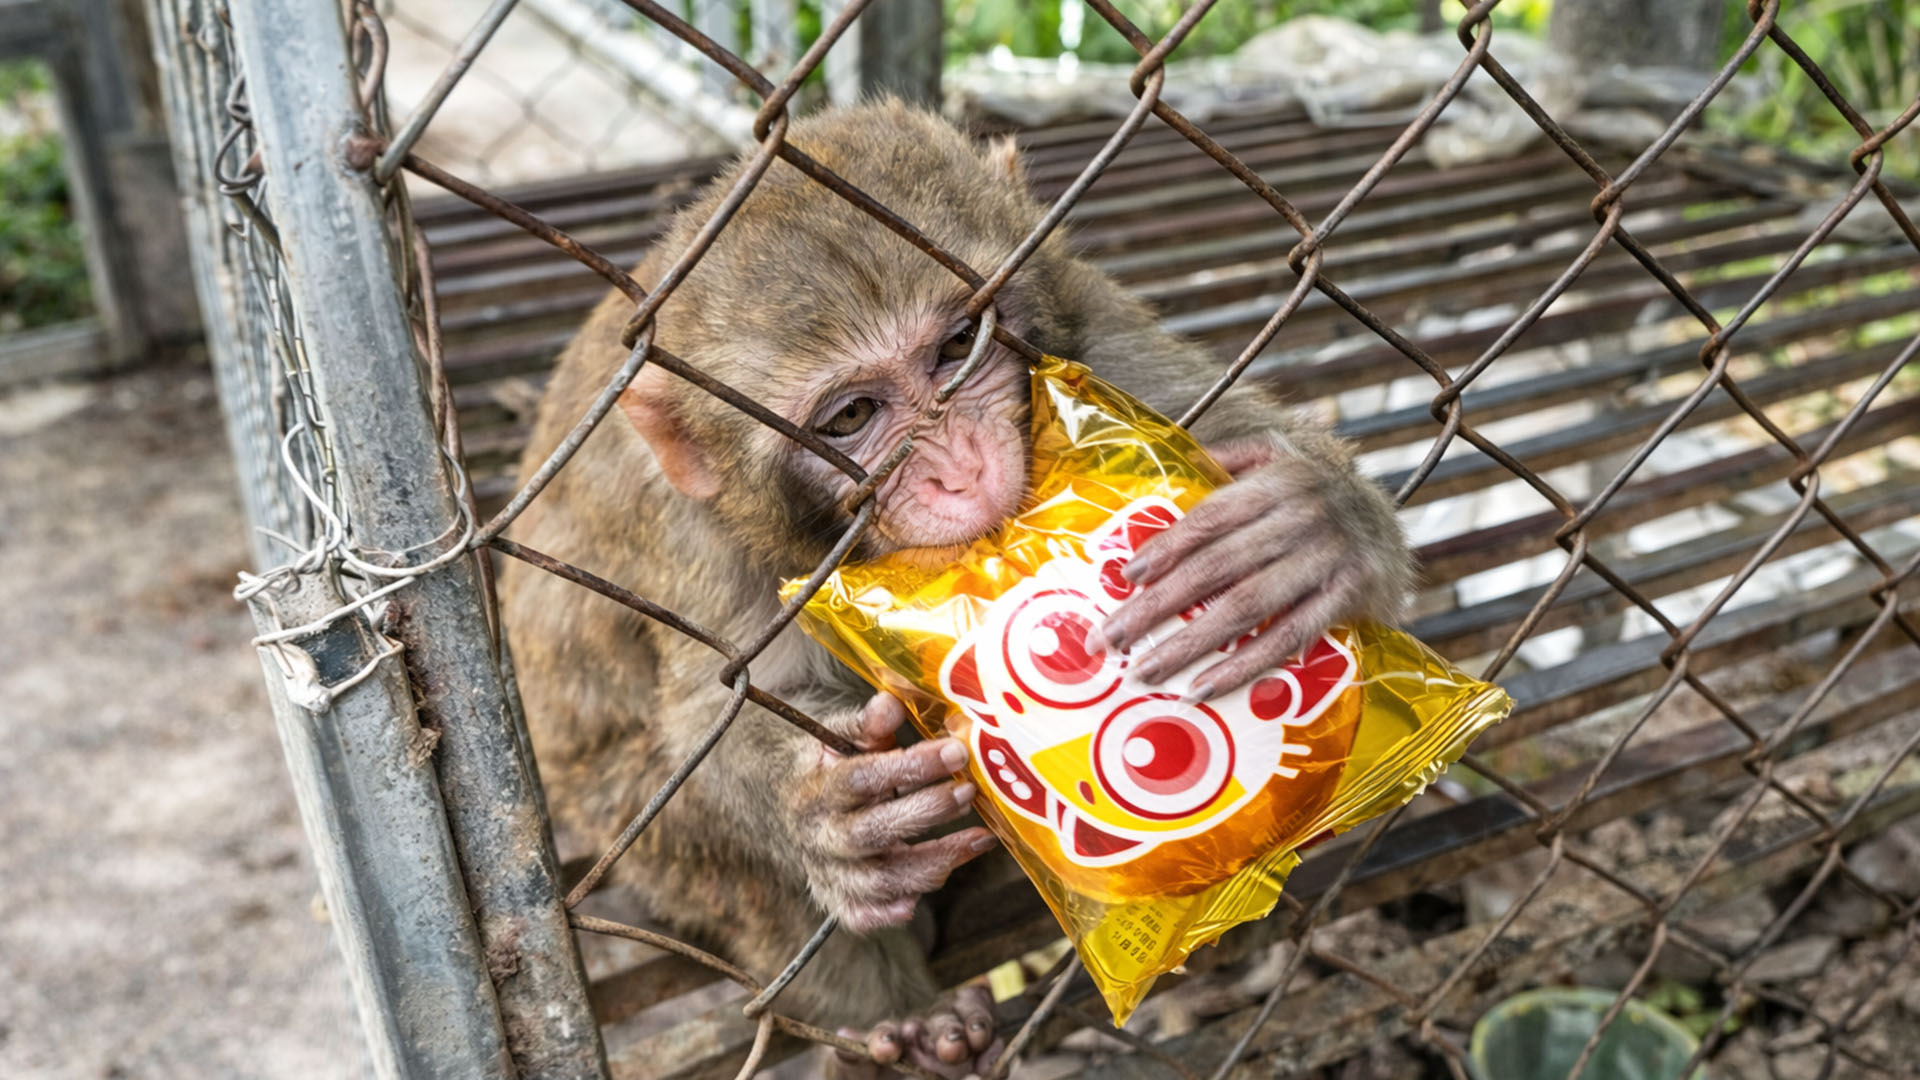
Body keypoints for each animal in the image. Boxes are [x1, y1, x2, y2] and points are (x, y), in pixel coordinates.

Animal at [498, 98, 1413, 1077]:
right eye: (851, 418)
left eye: (956, 349)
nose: (964, 471)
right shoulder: (701, 532)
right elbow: (723, 710)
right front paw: (812, 806)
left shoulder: (1086, 319)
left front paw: (1312, 524)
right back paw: (901, 1025)